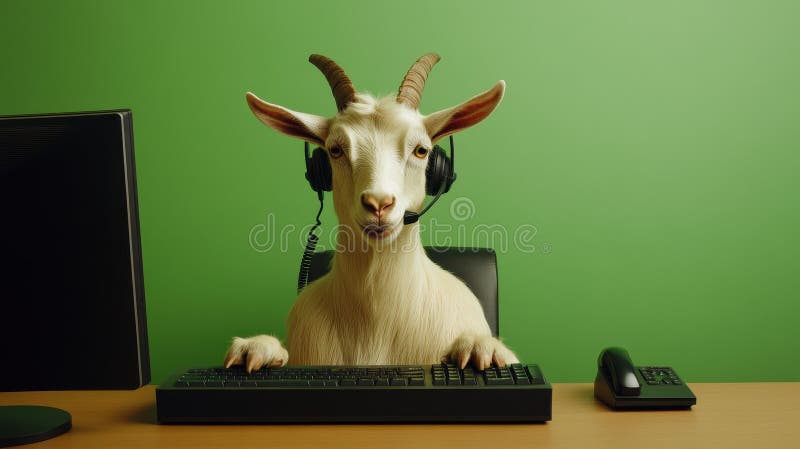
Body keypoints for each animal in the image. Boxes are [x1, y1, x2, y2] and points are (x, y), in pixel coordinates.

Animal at [225, 53, 518, 372]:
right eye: (335, 149)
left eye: (421, 150)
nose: (378, 204)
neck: (378, 319)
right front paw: (257, 349)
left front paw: (481, 349)